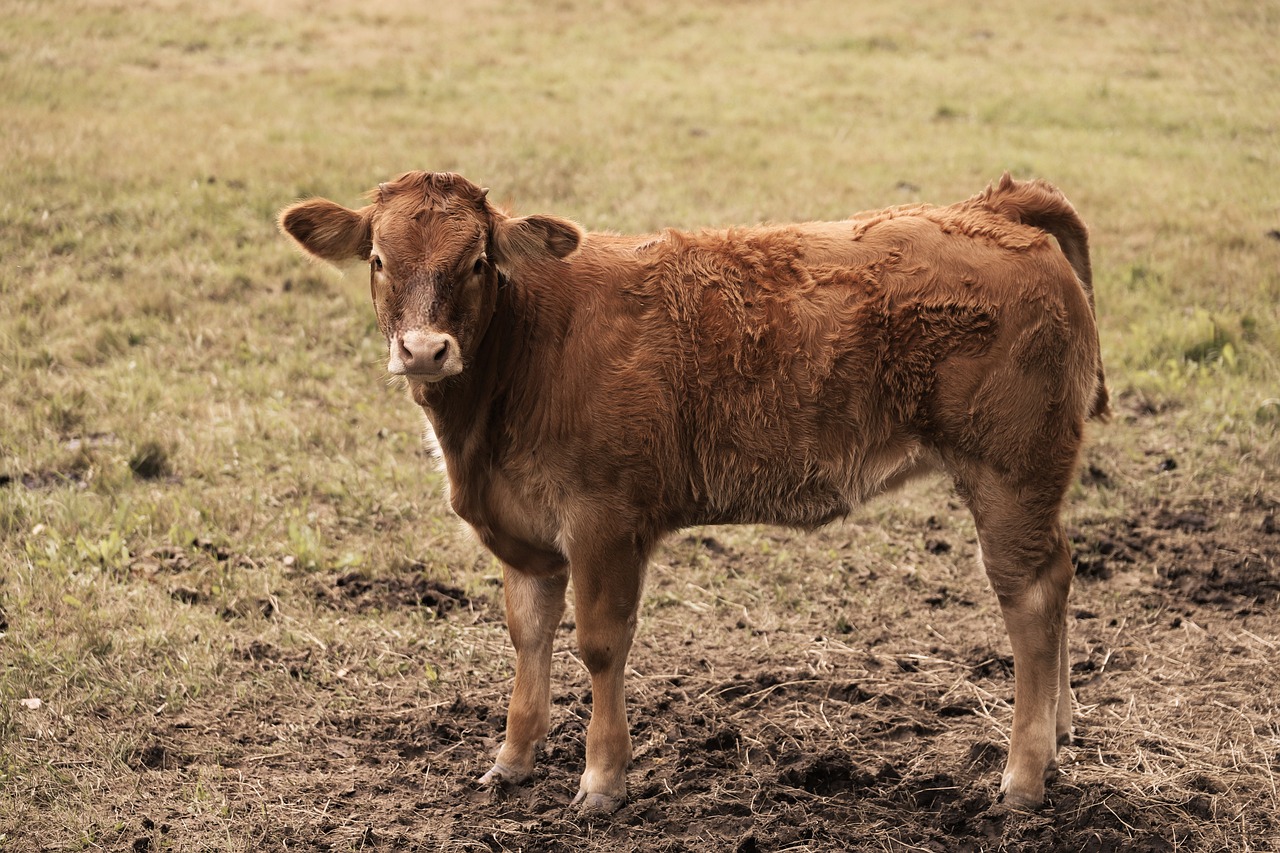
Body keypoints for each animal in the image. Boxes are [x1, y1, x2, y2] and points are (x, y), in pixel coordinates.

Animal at [279, 171, 1108, 813]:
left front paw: (602, 778)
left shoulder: (605, 521)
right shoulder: (525, 535)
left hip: (1009, 470)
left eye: (479, 261)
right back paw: (1060, 733)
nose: (424, 350)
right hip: (1031, 480)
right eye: (378, 258)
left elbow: (599, 643)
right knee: (1061, 574)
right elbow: (528, 635)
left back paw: (1024, 774)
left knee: (1030, 597)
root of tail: (991, 206)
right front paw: (512, 758)